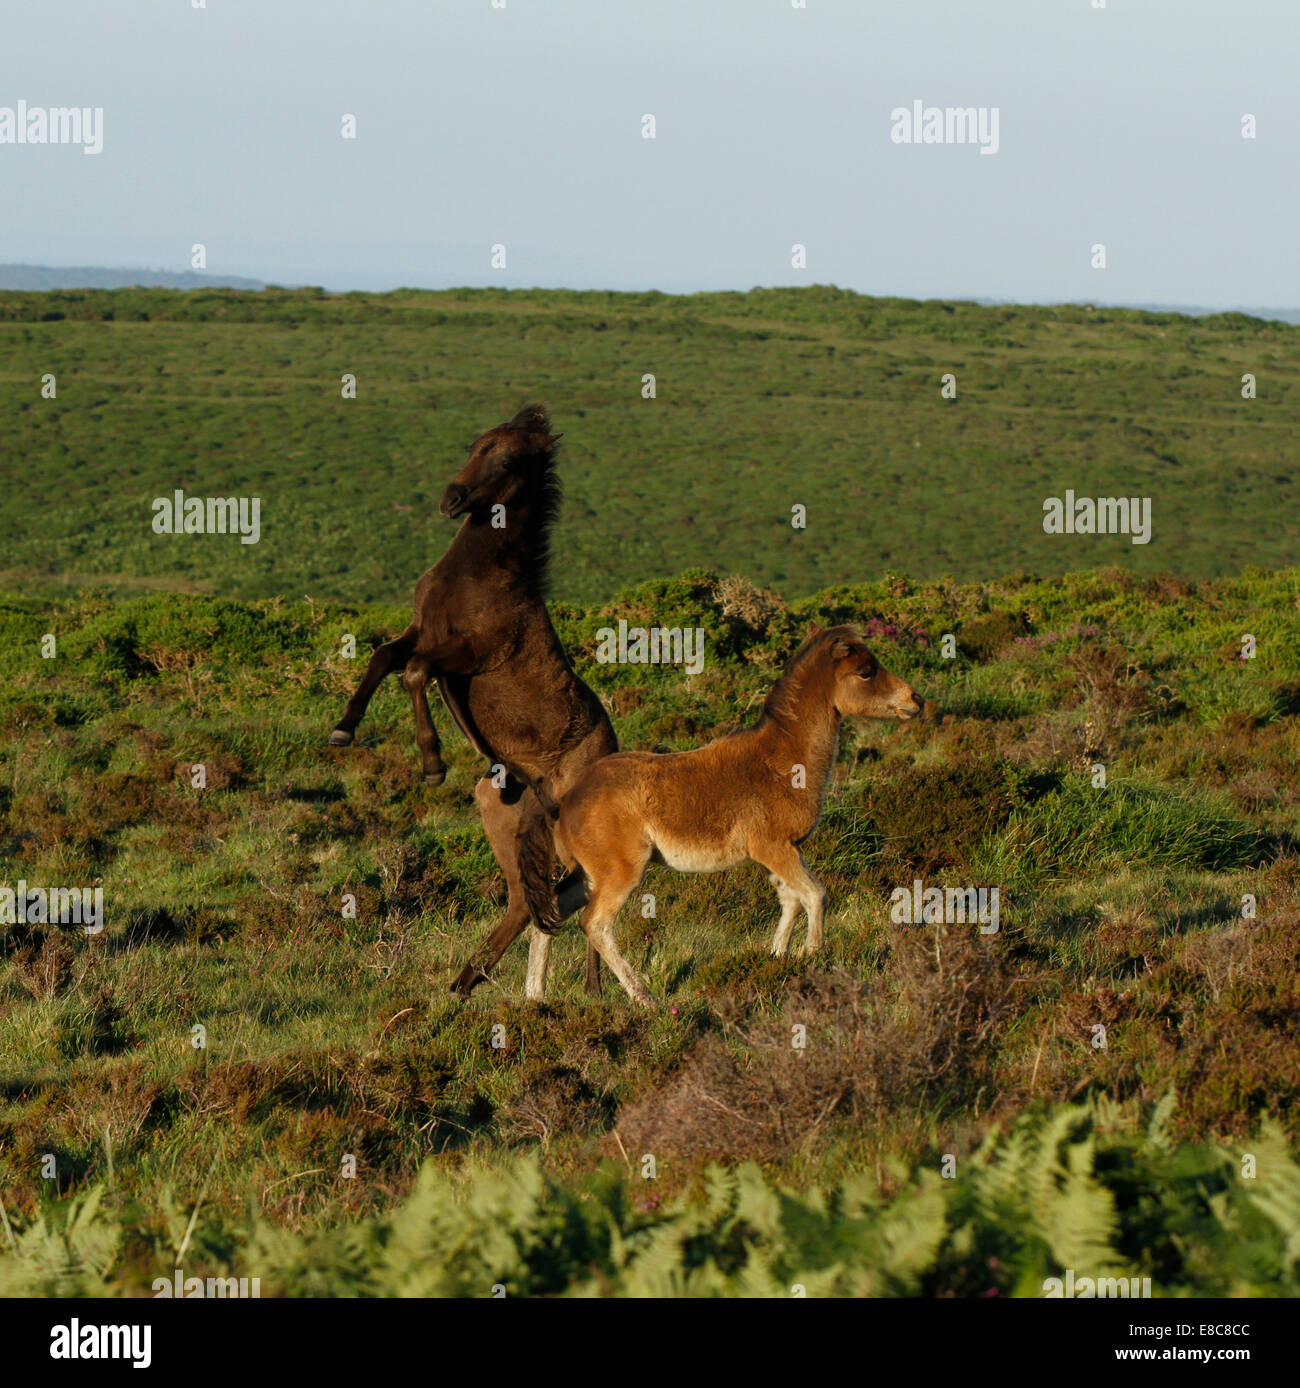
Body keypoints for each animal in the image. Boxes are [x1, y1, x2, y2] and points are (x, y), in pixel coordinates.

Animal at [328, 404, 616, 998]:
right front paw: (343, 729)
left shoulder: (470, 651)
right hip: (504, 820)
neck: (478, 572)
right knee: (527, 901)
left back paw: (591, 988)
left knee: (579, 894)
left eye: (507, 459)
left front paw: (432, 763)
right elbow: (383, 658)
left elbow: (415, 672)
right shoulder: (420, 631)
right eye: (475, 444)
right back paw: (464, 983)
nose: (451, 498)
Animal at [519, 625, 924, 1005]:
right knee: (596, 924)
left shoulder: (778, 854)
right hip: (618, 873)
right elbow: (815, 895)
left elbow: (790, 900)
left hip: (587, 875)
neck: (780, 762)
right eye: (866, 672)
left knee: (551, 913)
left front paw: (776, 960)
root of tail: (566, 800)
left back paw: (536, 998)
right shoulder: (774, 848)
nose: (915, 700)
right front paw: (812, 957)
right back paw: (644, 997)